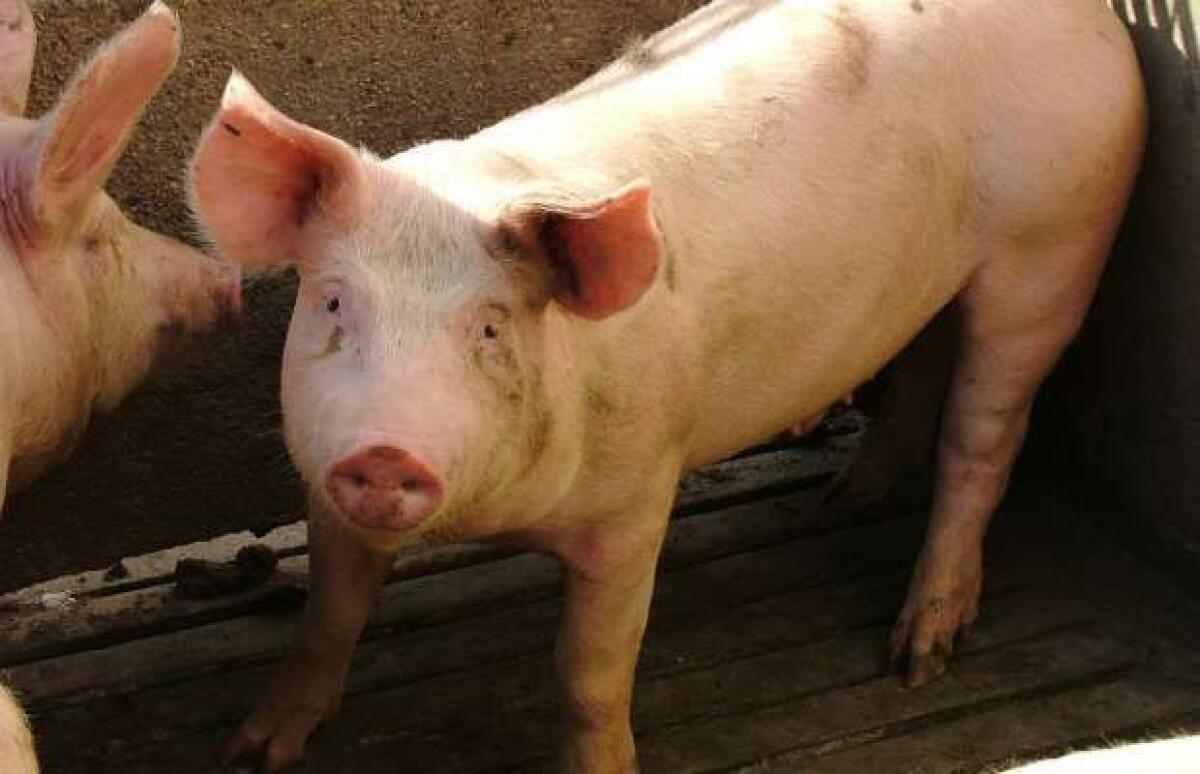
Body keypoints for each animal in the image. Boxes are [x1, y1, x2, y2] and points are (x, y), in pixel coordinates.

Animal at [191, 0, 1145, 770]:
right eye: (333, 302)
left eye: (491, 328)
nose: (388, 452)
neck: (495, 519)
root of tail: (1094, 19)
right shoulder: (322, 470)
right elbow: (327, 621)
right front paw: (250, 753)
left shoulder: (635, 502)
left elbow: (589, 673)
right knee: (921, 358)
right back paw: (849, 497)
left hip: (1052, 251)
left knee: (984, 442)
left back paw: (918, 657)